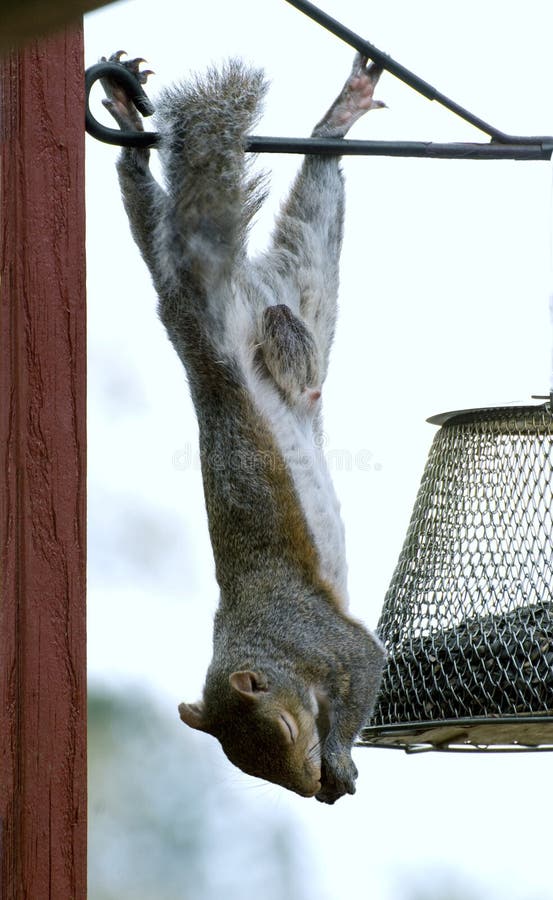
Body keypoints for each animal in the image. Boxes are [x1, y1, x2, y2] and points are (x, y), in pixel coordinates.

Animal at [100, 52, 386, 804]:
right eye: (247, 763)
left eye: (281, 733)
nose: (308, 783)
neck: (267, 646)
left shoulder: (323, 637)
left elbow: (365, 662)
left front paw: (340, 758)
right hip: (300, 290)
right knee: (304, 209)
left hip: (217, 304)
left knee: (174, 253)